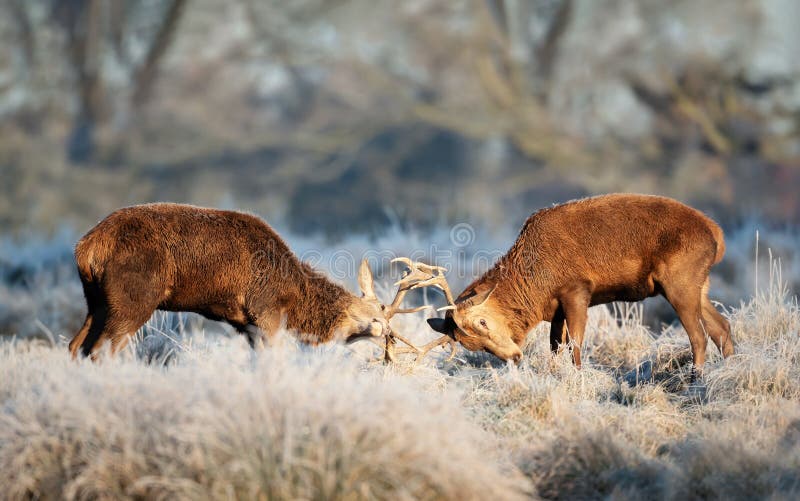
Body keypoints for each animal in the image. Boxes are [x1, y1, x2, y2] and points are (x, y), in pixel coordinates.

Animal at [68, 203, 453, 360]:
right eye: (376, 319)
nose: (389, 339)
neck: (294, 296)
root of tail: (86, 248)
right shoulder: (266, 312)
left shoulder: (245, 324)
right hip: (133, 297)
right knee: (101, 350)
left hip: (96, 300)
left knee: (76, 345)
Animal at [421, 194, 735, 378]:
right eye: (475, 346)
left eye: (483, 322)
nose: (514, 356)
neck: (536, 287)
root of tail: (718, 236)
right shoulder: (556, 309)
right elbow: (555, 346)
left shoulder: (576, 289)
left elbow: (576, 344)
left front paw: (579, 378)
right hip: (699, 285)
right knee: (721, 326)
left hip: (679, 280)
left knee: (699, 335)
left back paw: (695, 379)